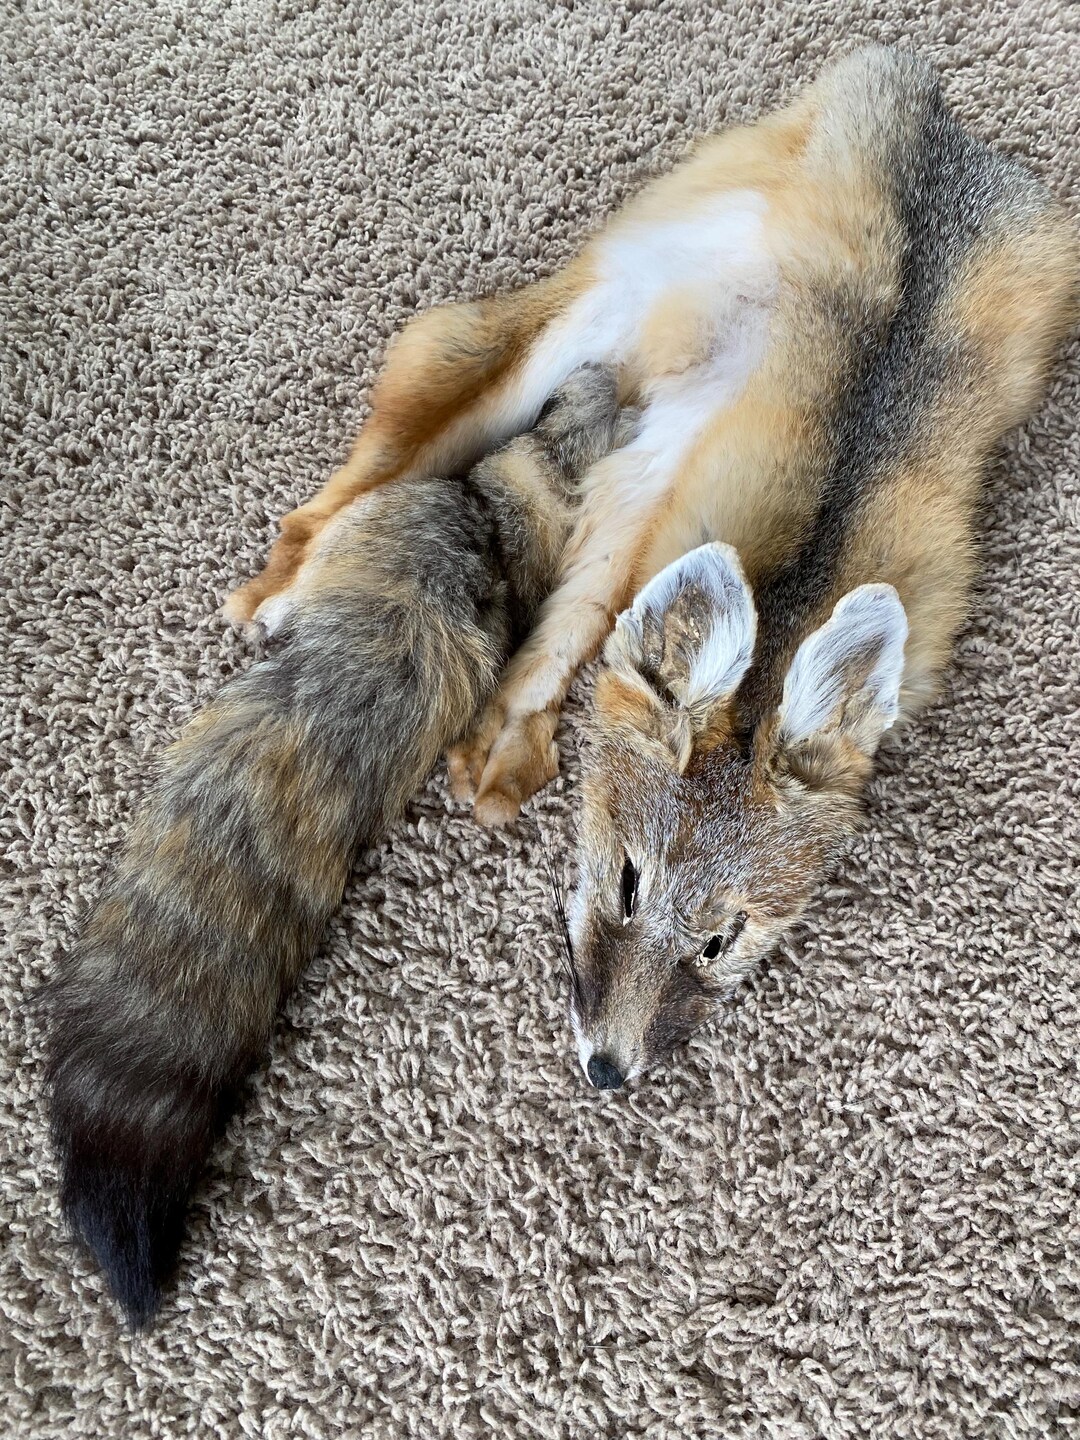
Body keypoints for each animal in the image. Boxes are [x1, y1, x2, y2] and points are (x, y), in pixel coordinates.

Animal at [48, 44, 1077, 1326]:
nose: (606, 1074)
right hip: (554, 326)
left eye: (724, 944)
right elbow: (578, 618)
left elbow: (565, 622)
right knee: (382, 460)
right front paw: (514, 725)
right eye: (625, 887)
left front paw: (510, 727)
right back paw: (295, 570)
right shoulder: (655, 480)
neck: (812, 547)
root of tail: (938, 116)